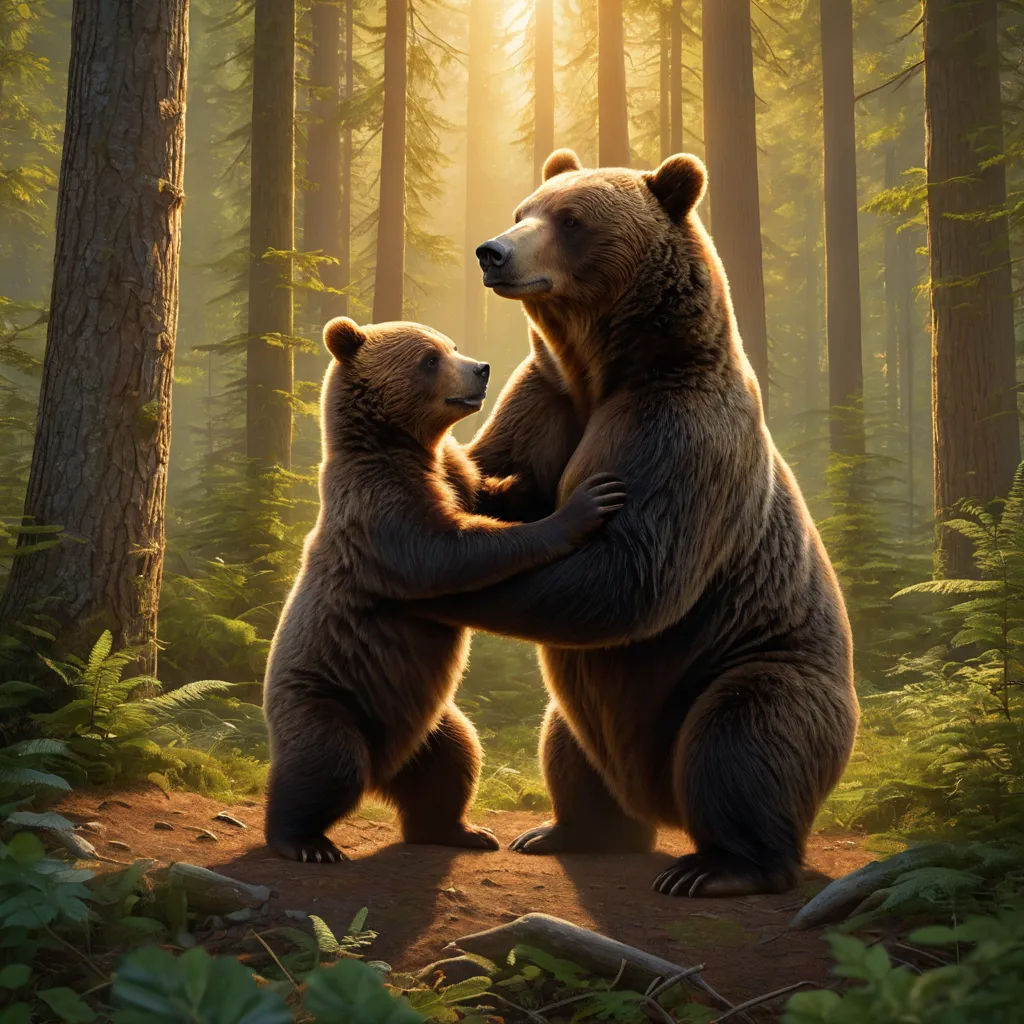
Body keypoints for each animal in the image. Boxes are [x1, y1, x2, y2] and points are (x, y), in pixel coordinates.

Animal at [262, 316, 625, 863]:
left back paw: (463, 831)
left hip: (427, 722)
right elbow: (452, 552)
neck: (410, 446)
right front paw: (584, 505)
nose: (481, 369)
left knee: (454, 761)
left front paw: (539, 482)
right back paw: (302, 840)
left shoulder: (454, 475)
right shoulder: (381, 510)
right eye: (430, 359)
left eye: (451, 345)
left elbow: (490, 494)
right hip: (326, 698)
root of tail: (385, 767)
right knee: (326, 764)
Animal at [409, 149, 859, 897]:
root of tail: (657, 799)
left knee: (742, 741)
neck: (603, 369)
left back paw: (719, 867)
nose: (493, 252)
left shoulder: (674, 429)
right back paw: (567, 831)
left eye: (570, 218)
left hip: (760, 665)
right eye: (523, 209)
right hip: (591, 719)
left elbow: (632, 572)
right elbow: (489, 479)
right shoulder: (543, 401)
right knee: (569, 745)